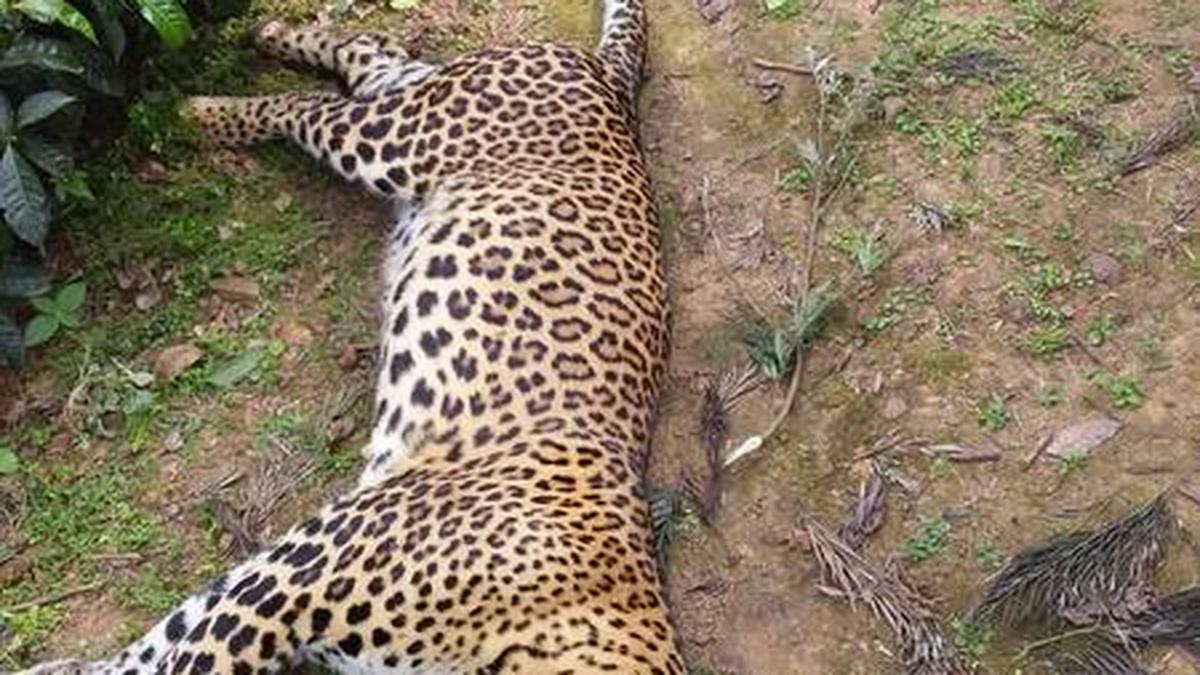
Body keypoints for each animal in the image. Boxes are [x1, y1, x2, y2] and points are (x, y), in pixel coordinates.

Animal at [16, 1, 685, 673]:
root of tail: (605, 76)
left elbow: (168, 642)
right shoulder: (301, 570)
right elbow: (184, 645)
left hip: (412, 106)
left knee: (369, 52)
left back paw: (270, 35)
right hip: (403, 138)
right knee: (310, 105)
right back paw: (201, 110)